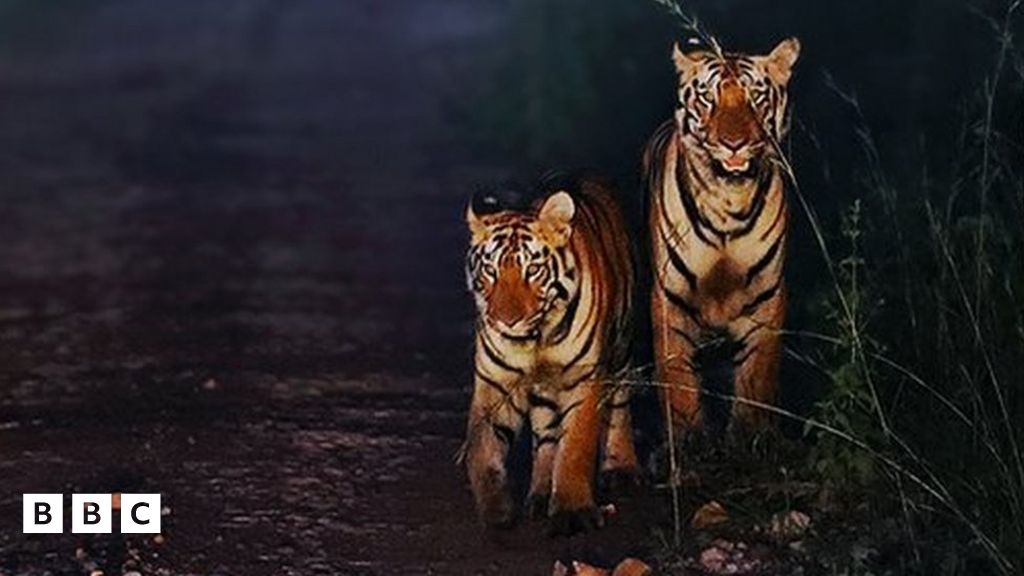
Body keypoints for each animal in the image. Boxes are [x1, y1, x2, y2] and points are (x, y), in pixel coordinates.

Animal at [463, 176, 637, 533]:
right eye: (490, 270)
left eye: (533, 270)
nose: (507, 320)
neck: (536, 340)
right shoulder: (495, 383)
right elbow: (482, 448)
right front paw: (496, 509)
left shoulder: (586, 377)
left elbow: (575, 446)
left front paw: (572, 511)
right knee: (545, 435)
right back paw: (541, 493)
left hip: (622, 346)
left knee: (621, 405)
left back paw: (622, 469)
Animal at [644, 38, 800, 437]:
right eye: (707, 98)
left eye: (755, 96)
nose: (733, 144)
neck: (729, 202)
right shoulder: (670, 301)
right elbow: (680, 384)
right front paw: (691, 441)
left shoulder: (766, 300)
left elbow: (754, 383)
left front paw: (748, 438)